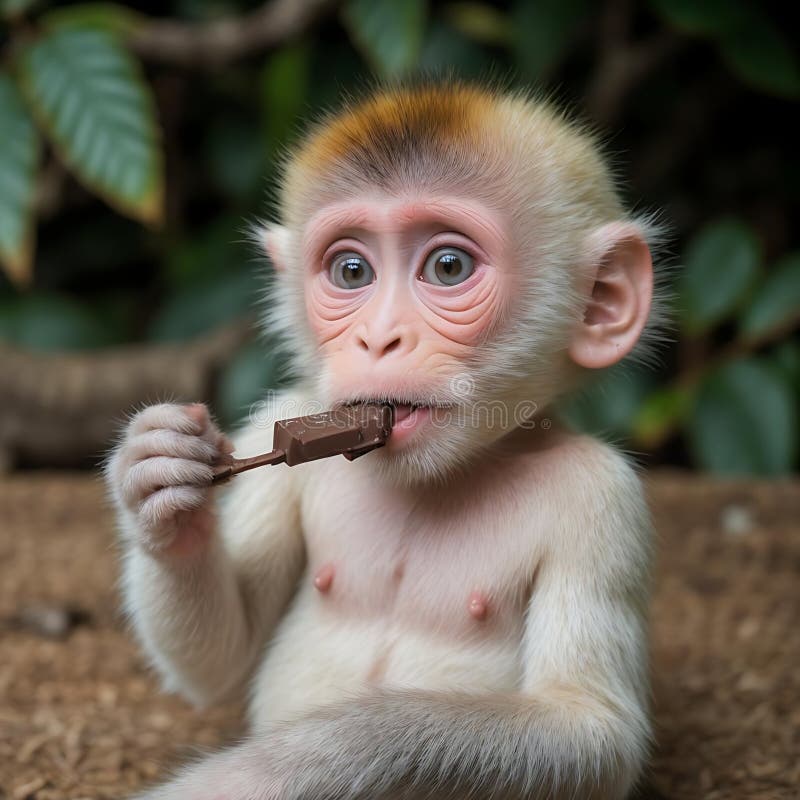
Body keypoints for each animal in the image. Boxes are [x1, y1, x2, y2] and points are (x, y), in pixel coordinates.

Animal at [106, 81, 660, 799]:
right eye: (350, 272)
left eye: (448, 266)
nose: (378, 338)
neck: (435, 474)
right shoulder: (284, 414)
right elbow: (223, 659)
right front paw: (157, 480)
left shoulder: (604, 499)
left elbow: (592, 729)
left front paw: (292, 764)